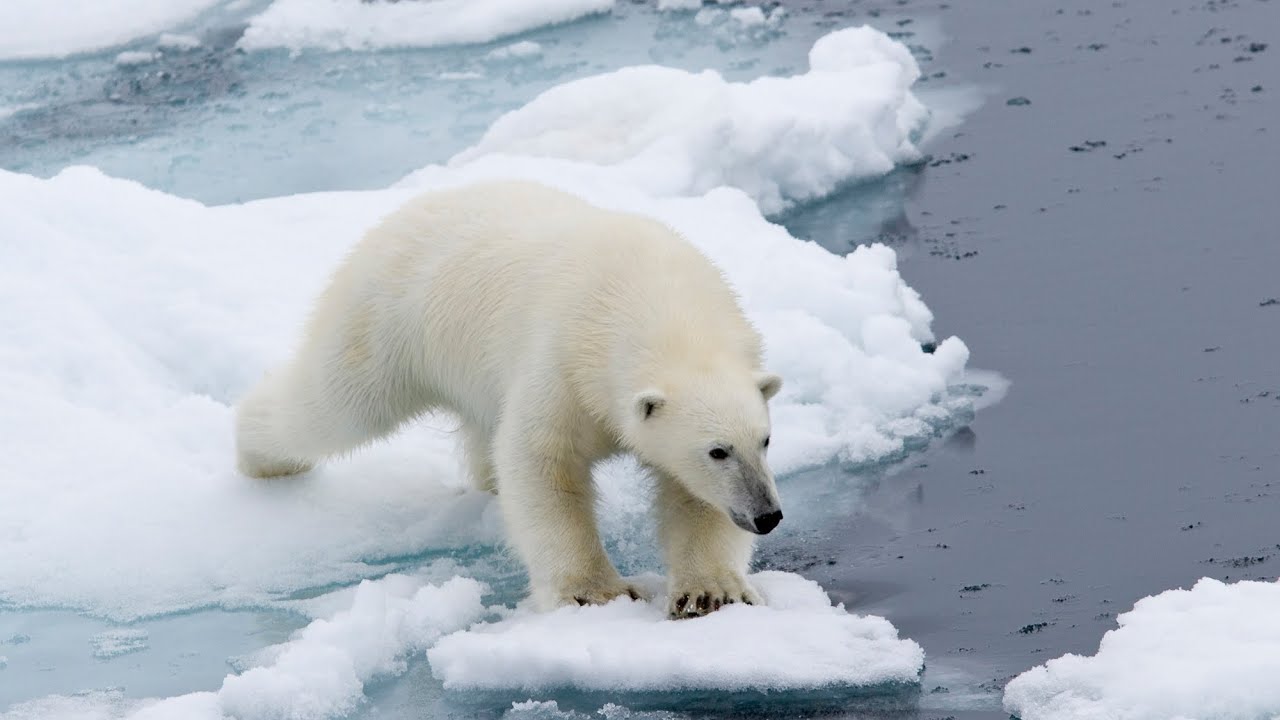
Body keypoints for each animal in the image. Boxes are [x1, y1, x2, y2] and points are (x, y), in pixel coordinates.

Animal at [235, 180, 784, 619]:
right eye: (717, 450)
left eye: (765, 441)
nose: (767, 515)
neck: (657, 305)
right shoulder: (562, 361)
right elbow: (542, 462)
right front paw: (594, 593)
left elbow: (694, 497)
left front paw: (710, 592)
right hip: (386, 320)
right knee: (335, 407)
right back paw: (259, 455)